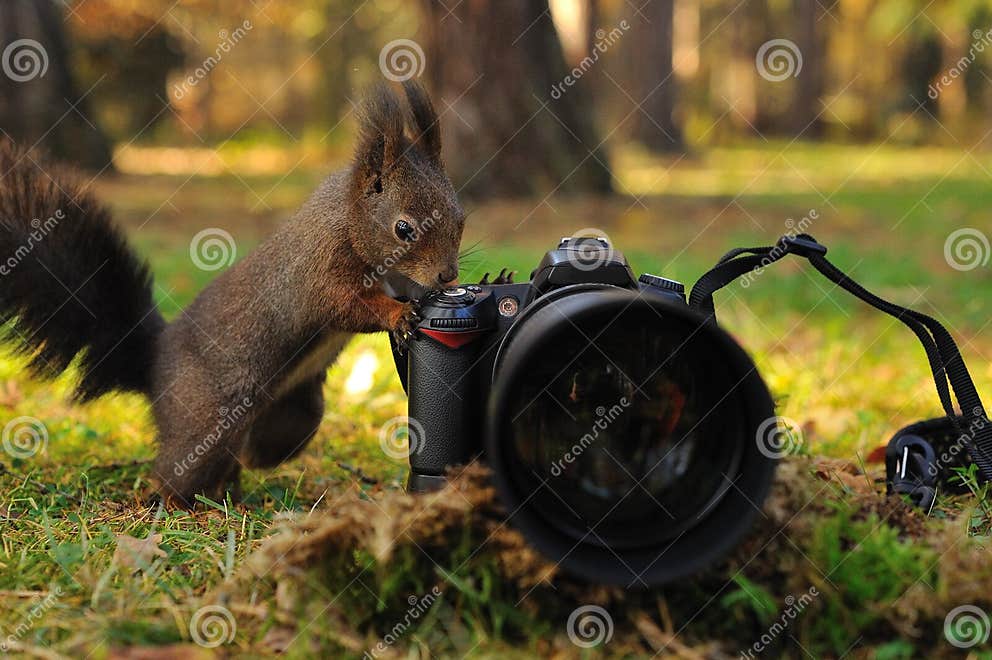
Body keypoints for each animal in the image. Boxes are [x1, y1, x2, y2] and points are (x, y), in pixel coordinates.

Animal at [0, 81, 464, 505]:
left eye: (460, 217)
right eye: (403, 229)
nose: (448, 275)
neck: (350, 219)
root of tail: (153, 361)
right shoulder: (320, 270)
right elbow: (346, 305)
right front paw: (399, 315)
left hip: (294, 414)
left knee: (256, 449)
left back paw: (235, 489)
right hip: (206, 418)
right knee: (178, 469)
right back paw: (175, 503)